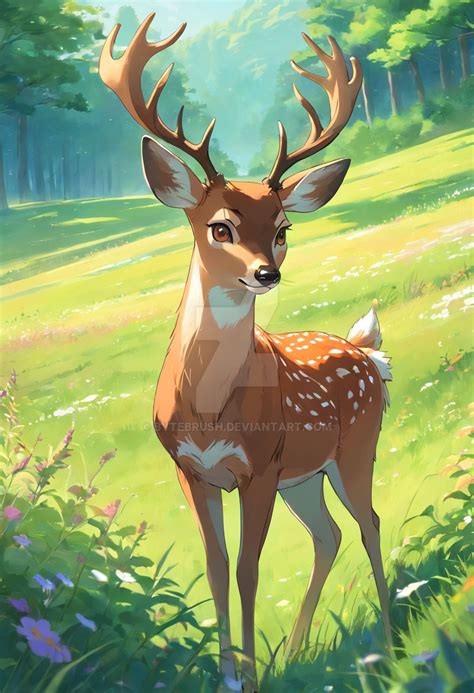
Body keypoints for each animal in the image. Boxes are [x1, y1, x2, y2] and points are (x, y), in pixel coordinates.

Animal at [99, 12, 393, 692]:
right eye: (220, 226)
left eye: (283, 229)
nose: (266, 273)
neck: (209, 409)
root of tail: (366, 352)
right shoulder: (191, 469)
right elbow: (214, 565)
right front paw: (230, 675)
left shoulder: (259, 465)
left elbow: (247, 569)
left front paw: (252, 678)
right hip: (304, 476)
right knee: (328, 536)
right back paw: (298, 648)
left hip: (351, 449)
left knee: (368, 523)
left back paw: (391, 645)